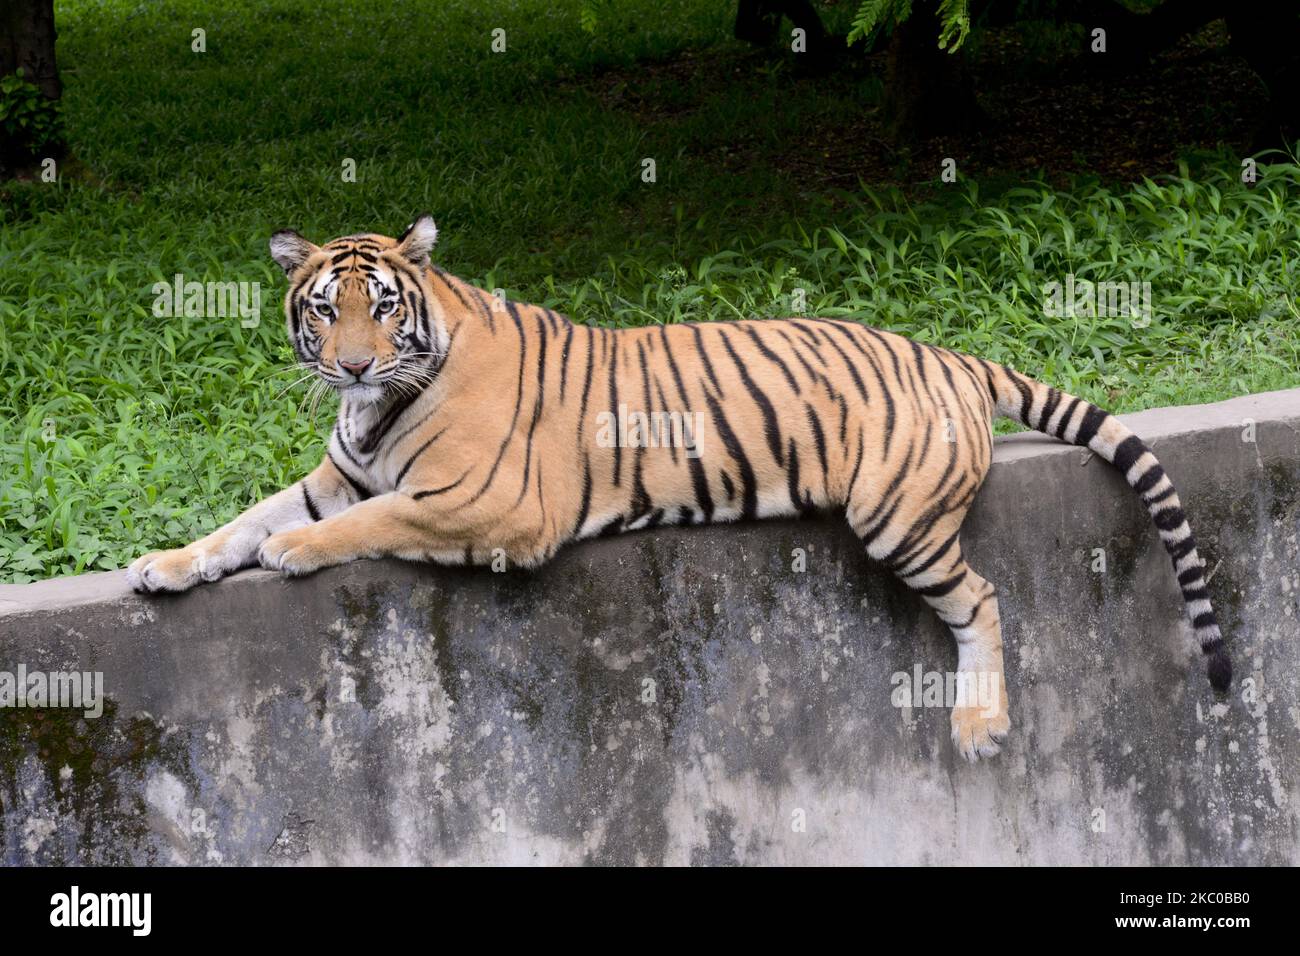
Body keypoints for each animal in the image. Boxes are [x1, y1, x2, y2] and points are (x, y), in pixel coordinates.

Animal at [126, 215, 1233, 761]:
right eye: (325, 307)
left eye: (384, 307)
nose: (353, 365)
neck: (376, 409)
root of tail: (951, 353)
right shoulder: (336, 474)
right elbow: (240, 519)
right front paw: (163, 565)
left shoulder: (495, 505)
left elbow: (363, 521)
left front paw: (292, 553)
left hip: (898, 519)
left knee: (985, 599)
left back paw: (978, 723)